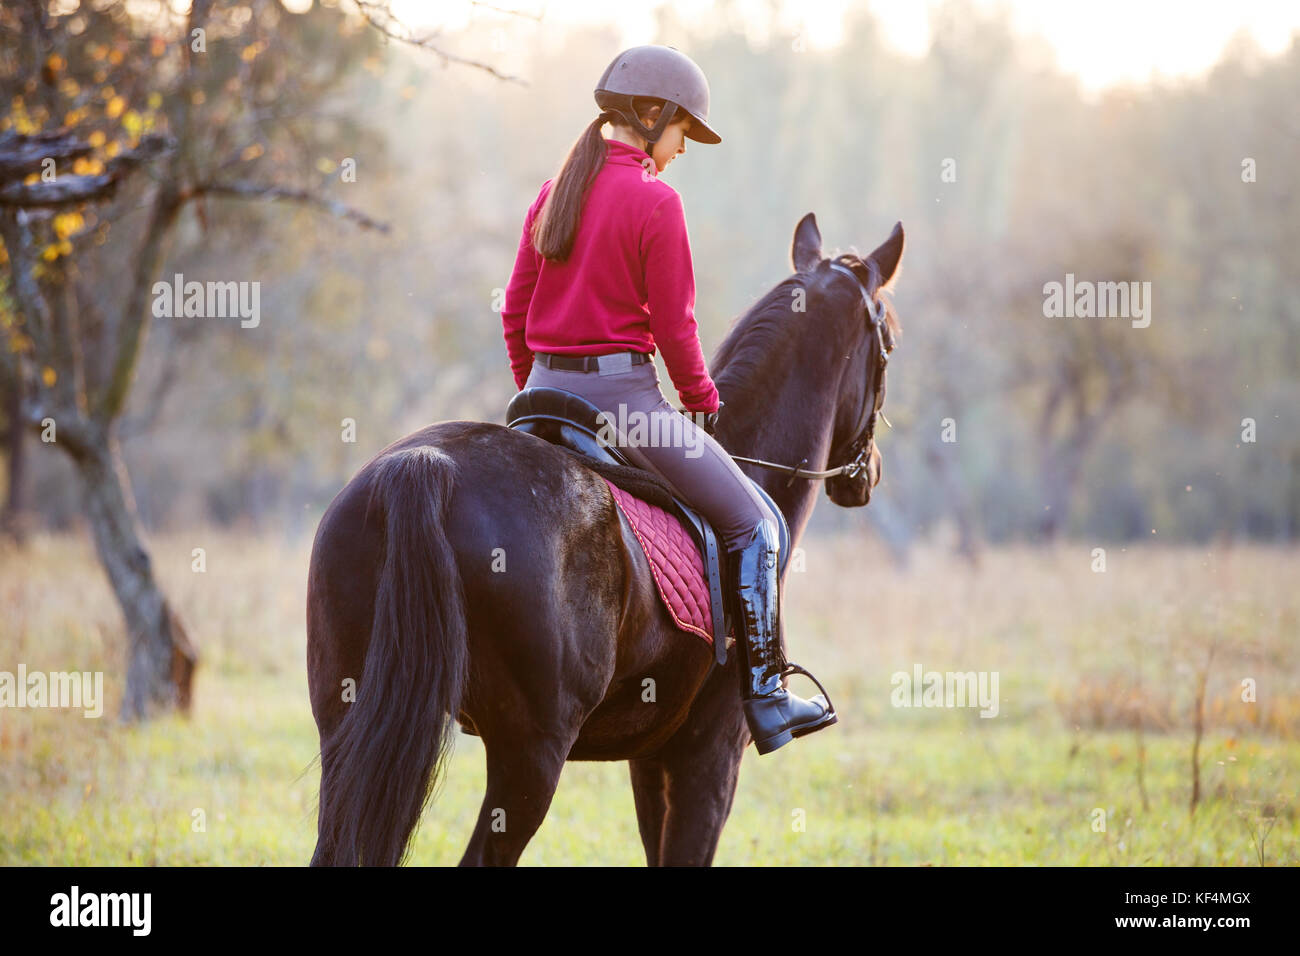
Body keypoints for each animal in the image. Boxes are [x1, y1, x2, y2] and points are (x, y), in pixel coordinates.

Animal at [305, 213, 904, 866]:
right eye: (889, 342)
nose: (869, 474)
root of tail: (426, 464)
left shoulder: (652, 757)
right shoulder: (709, 754)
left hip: (349, 717)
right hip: (531, 751)